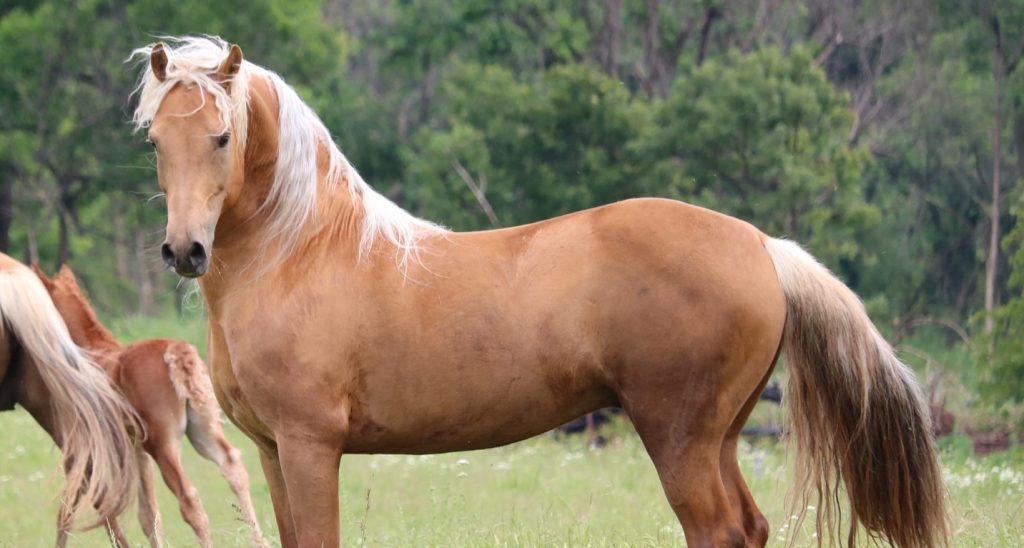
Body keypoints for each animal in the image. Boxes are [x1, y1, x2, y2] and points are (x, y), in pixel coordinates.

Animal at [32, 264, 266, 548]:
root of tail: (177, 351)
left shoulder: (85, 448)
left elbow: (67, 509)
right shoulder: (137, 450)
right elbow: (148, 515)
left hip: (163, 444)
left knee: (189, 498)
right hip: (202, 431)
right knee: (233, 467)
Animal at [131, 36, 946, 548]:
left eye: (222, 137)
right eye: (155, 140)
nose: (185, 250)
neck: (303, 252)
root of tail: (762, 246)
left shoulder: (310, 445)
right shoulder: (273, 450)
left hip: (678, 436)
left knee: (715, 530)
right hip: (721, 436)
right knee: (747, 528)